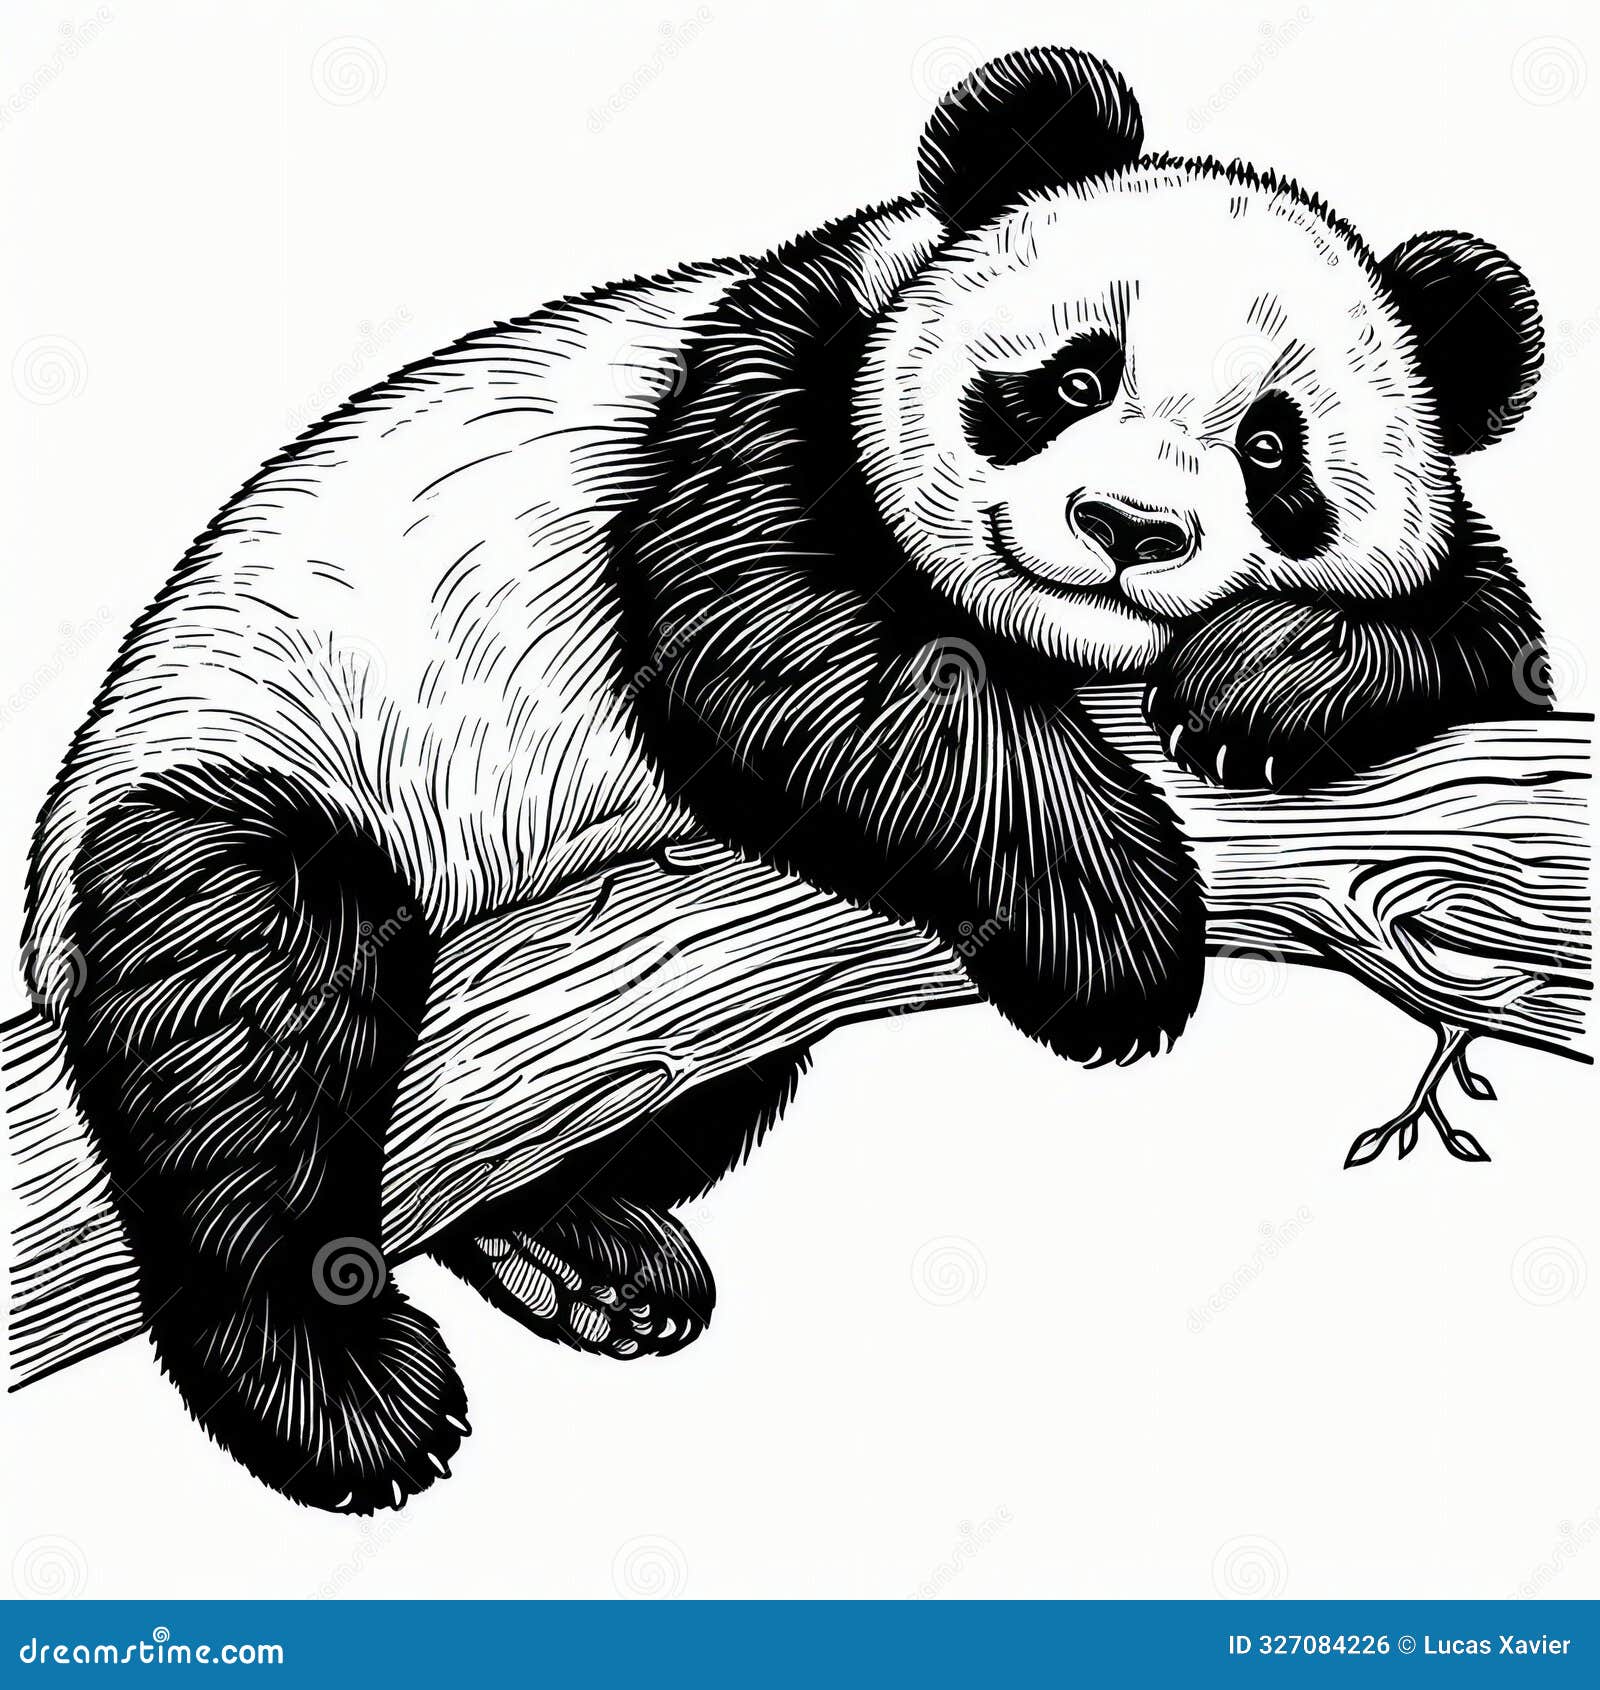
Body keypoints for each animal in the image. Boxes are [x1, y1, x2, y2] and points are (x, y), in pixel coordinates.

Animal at [25, 47, 1546, 1510]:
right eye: (1072, 379)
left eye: (1272, 448)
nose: (1129, 528)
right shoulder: (774, 376)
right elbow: (777, 636)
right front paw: (1108, 942)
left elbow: (1491, 637)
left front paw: (1266, 682)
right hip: (246, 749)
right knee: (248, 1019)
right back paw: (337, 1386)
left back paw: (572, 1246)